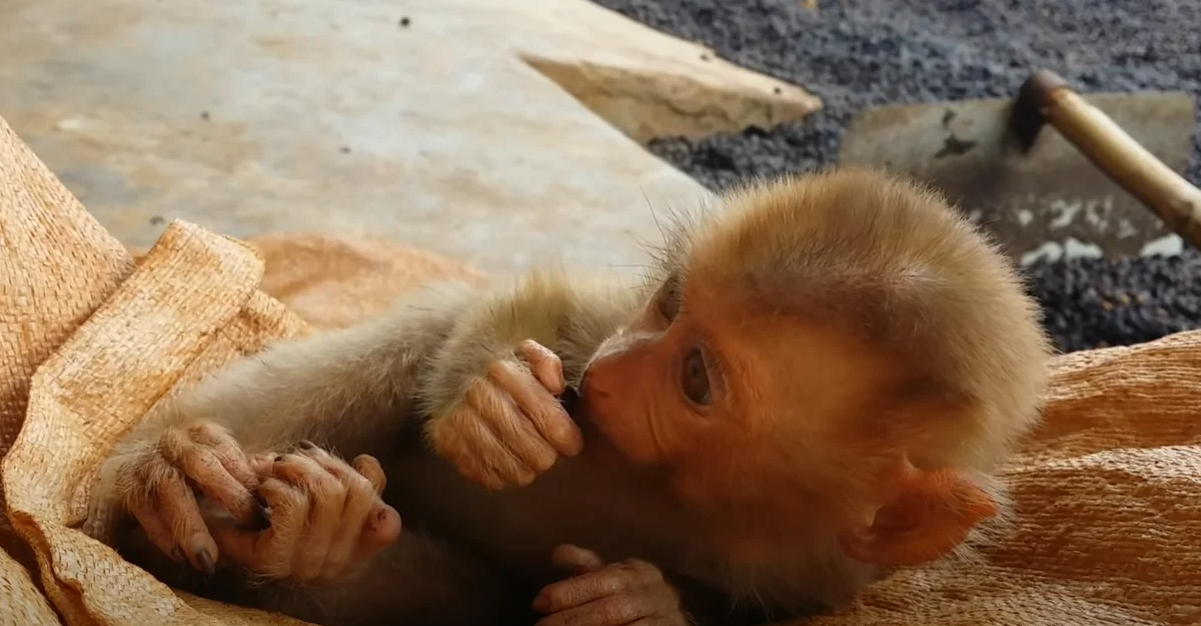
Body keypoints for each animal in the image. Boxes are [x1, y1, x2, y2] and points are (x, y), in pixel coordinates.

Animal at [85, 167, 1052, 626]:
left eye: (695, 378)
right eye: (669, 298)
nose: (614, 373)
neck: (685, 487)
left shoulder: (830, 570)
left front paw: (640, 605)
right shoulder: (601, 329)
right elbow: (525, 305)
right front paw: (497, 406)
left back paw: (314, 544)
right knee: (424, 329)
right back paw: (178, 477)